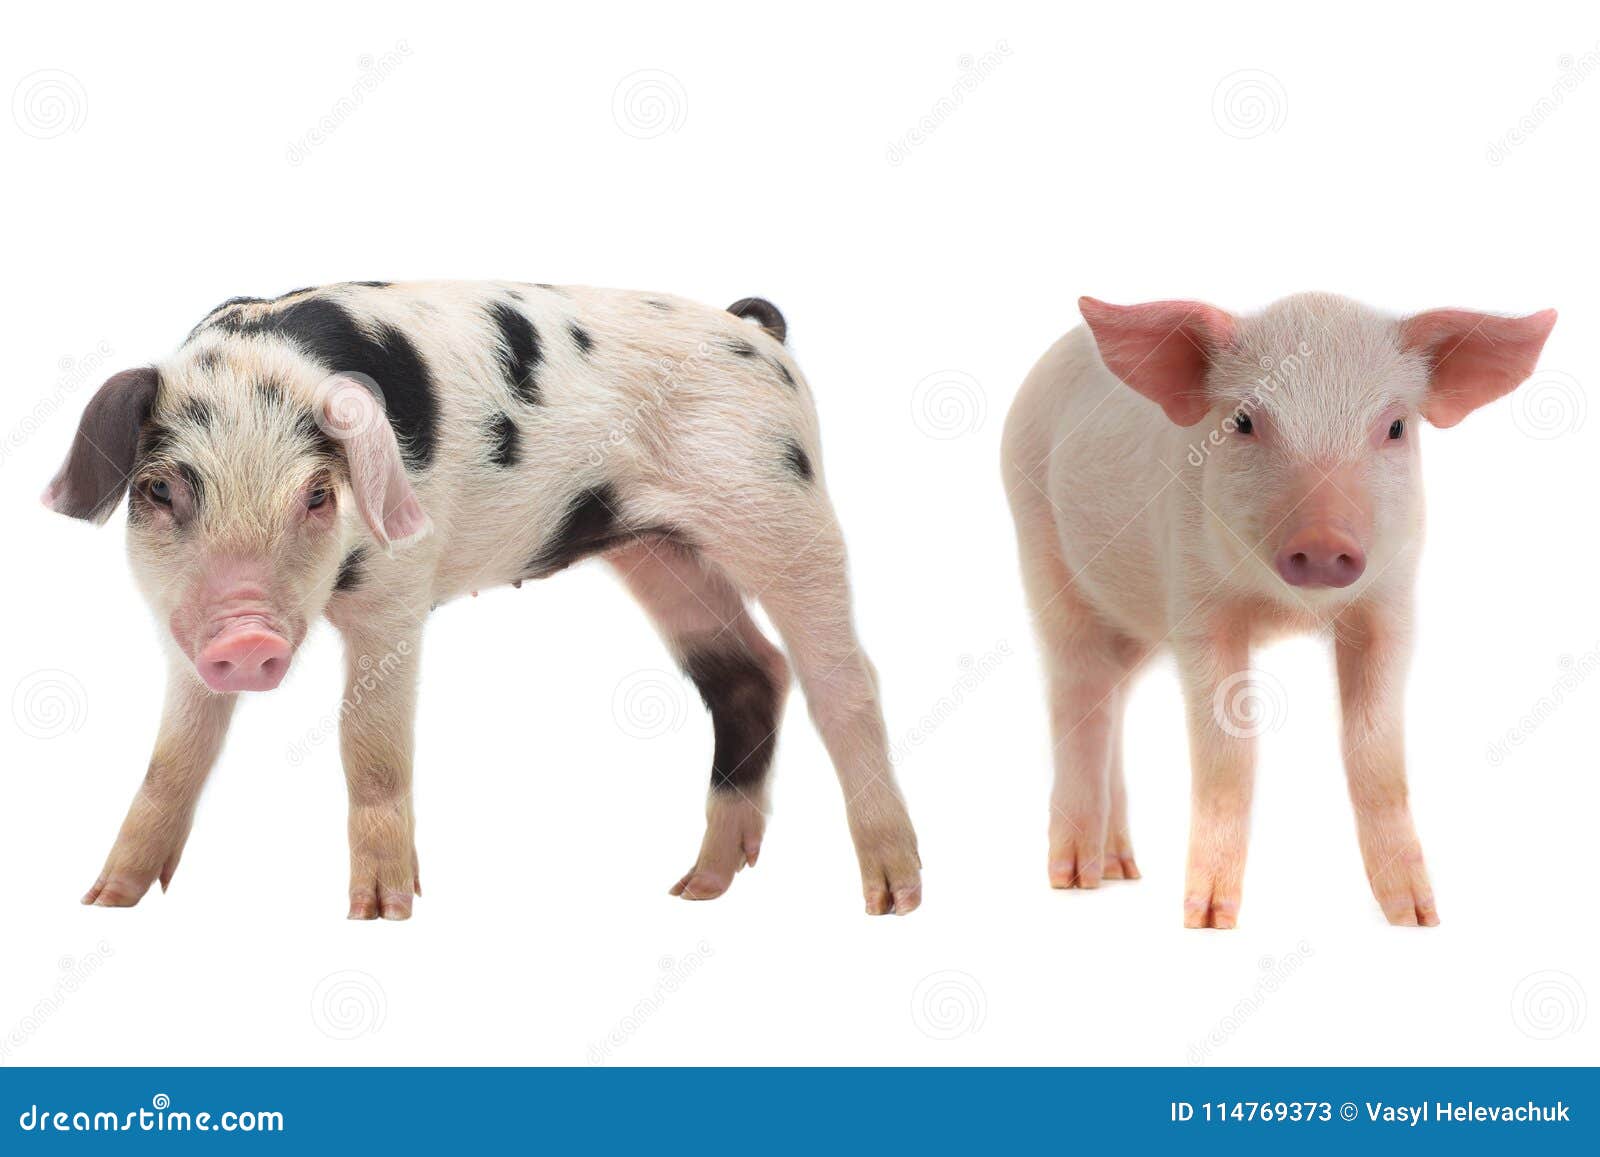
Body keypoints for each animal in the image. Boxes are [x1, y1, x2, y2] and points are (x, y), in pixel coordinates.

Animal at [45, 281, 921, 919]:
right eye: (160, 489)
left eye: (318, 494)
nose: (246, 637)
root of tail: (759, 332)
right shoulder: (179, 632)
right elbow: (173, 760)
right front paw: (106, 899)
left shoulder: (398, 592)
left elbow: (369, 745)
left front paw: (379, 914)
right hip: (660, 552)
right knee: (750, 673)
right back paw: (695, 889)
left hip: (782, 508)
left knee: (846, 681)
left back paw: (891, 897)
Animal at [1001, 293, 1555, 927]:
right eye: (1244, 422)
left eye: (1394, 427)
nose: (1322, 540)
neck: (1287, 610)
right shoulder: (1197, 596)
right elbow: (1228, 759)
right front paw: (1207, 920)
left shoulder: (1391, 602)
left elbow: (1377, 754)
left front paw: (1417, 917)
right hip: (1040, 549)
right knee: (1077, 698)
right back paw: (1074, 881)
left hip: (1133, 623)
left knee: (1112, 700)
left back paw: (1123, 870)